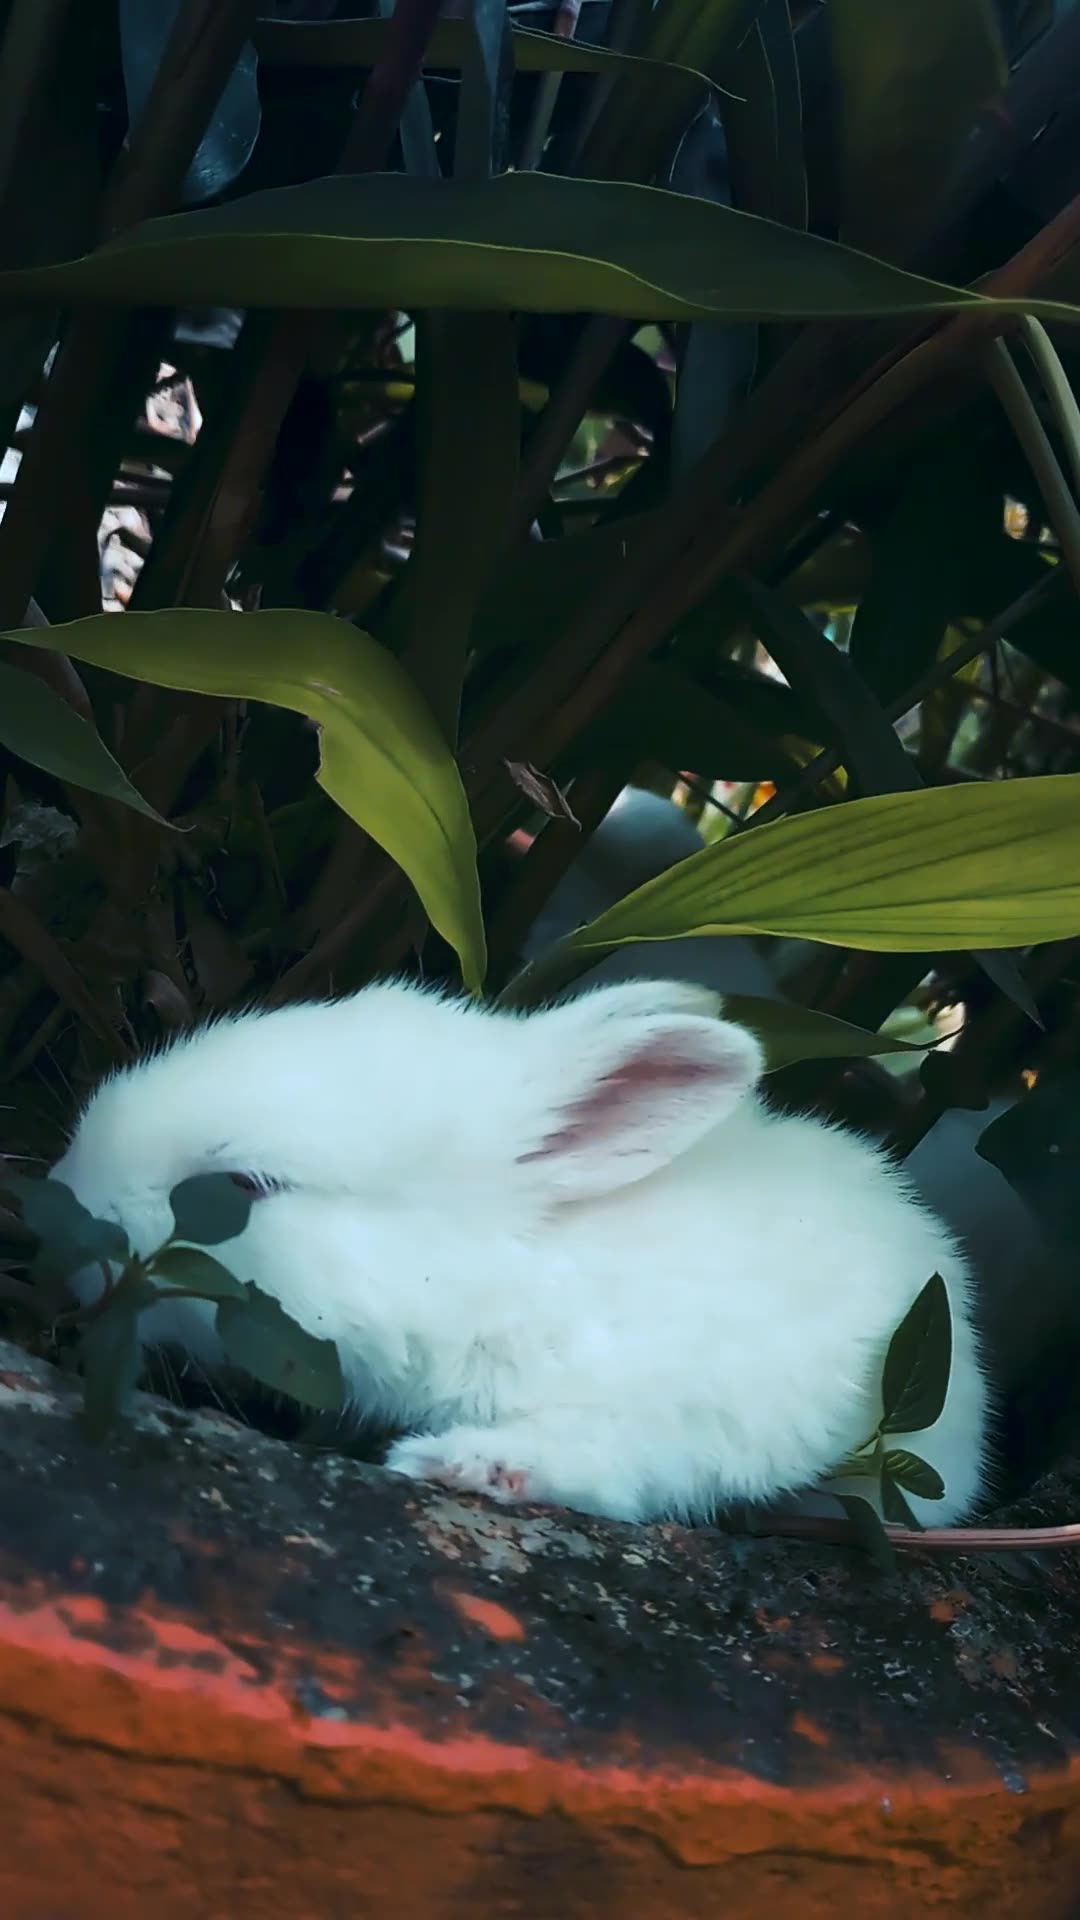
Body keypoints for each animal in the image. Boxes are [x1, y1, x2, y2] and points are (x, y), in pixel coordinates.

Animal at [49, 974, 989, 1528]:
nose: (67, 1201)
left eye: (241, 1187)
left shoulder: (681, 1403)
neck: (509, 1275)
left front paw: (460, 1464)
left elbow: (610, 1463)